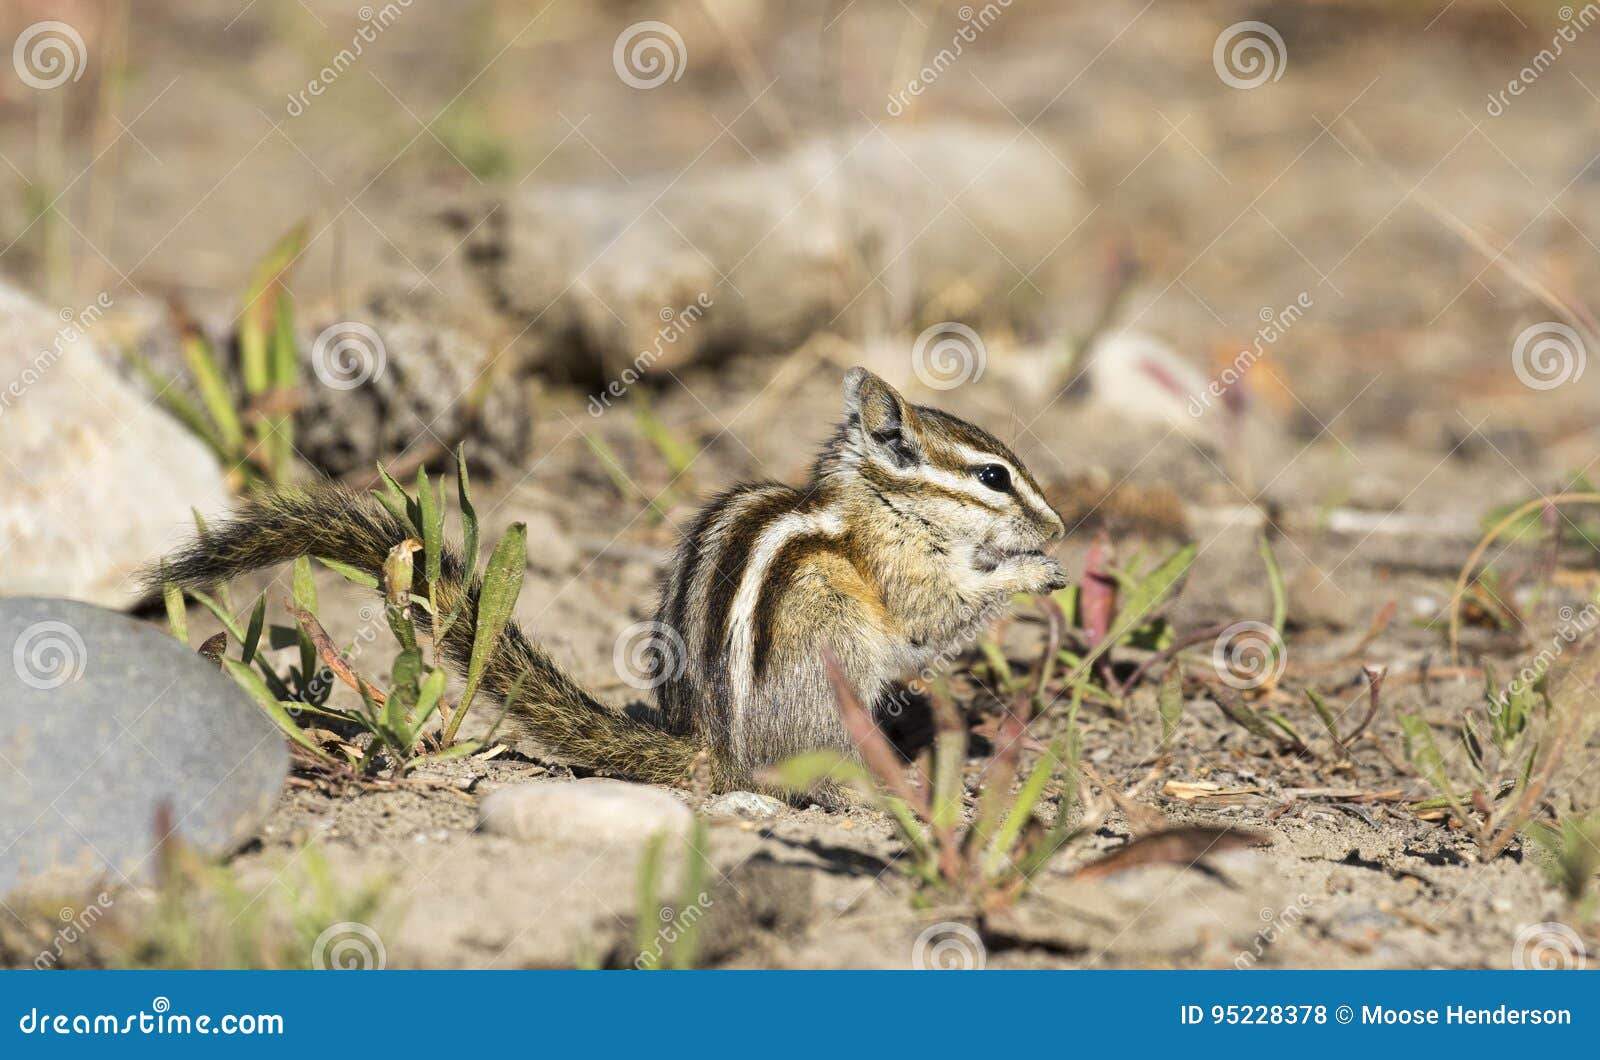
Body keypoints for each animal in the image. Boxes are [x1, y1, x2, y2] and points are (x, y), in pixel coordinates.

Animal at [157, 367, 1068, 794]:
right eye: (993, 477)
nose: (1061, 527)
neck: (876, 501)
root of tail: (713, 753)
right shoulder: (894, 568)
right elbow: (935, 614)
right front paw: (1031, 574)